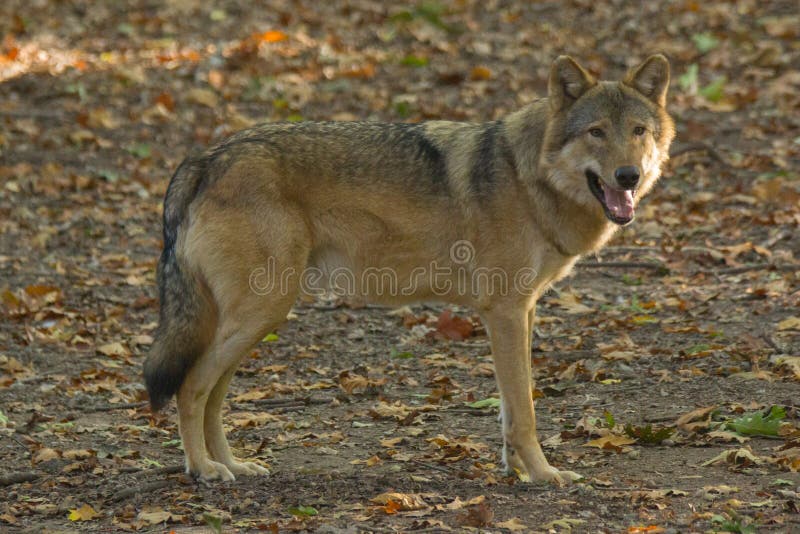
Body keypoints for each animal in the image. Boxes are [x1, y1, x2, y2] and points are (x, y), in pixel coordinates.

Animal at [144, 55, 675, 484]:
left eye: (638, 131)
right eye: (596, 132)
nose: (628, 176)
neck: (529, 179)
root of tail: (203, 159)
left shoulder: (521, 313)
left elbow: (509, 409)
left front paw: (517, 471)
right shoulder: (505, 312)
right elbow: (524, 411)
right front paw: (544, 475)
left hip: (255, 321)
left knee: (212, 395)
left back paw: (231, 464)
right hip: (262, 313)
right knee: (190, 386)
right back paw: (203, 469)